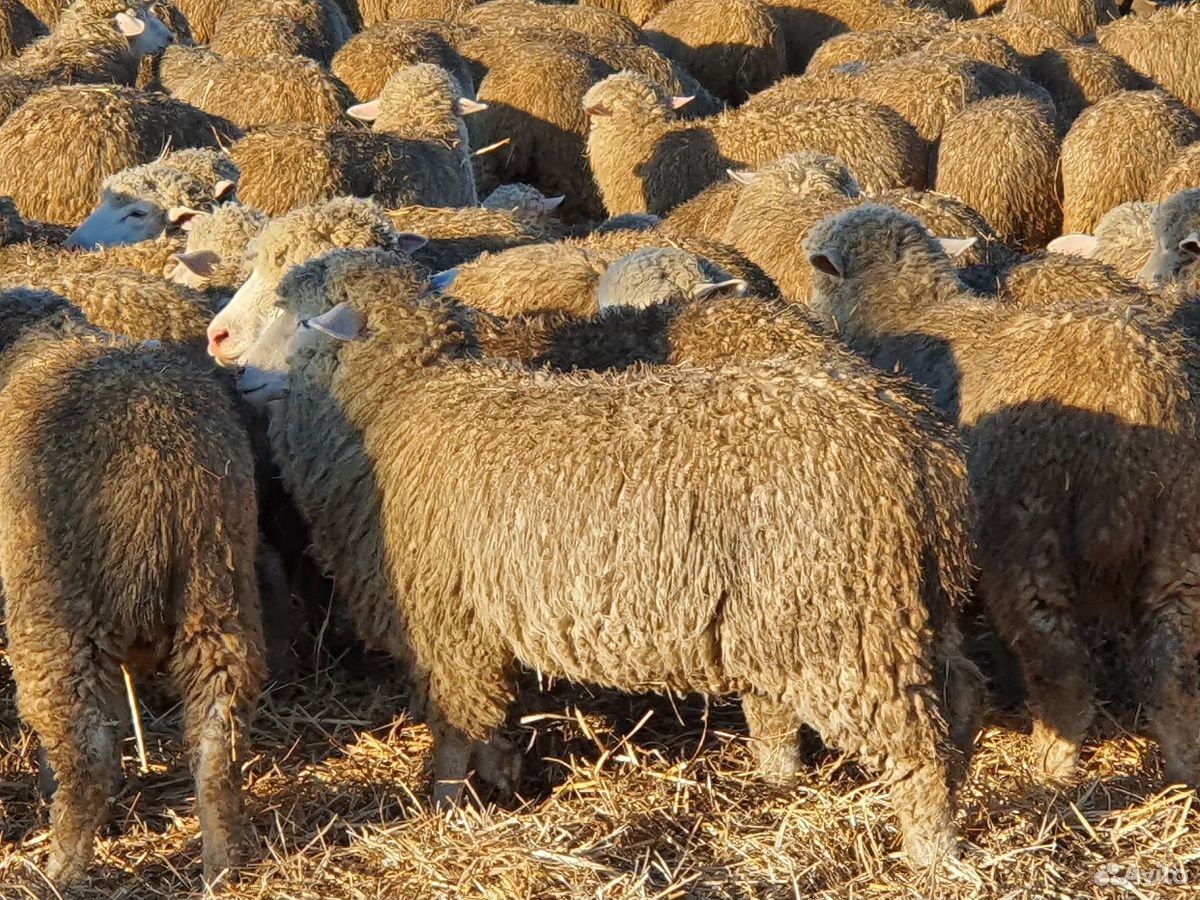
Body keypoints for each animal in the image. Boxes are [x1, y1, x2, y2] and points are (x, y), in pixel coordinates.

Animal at [0, 287, 263, 886]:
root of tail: (158, 464)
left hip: (56, 604)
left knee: (88, 753)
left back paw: (56, 873)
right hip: (218, 591)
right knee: (217, 738)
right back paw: (222, 865)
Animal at [234, 245, 980, 868]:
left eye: (298, 319)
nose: (235, 373)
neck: (399, 405)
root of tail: (914, 441)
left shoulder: (449, 628)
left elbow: (454, 732)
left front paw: (446, 814)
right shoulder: (485, 628)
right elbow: (495, 725)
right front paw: (505, 787)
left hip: (841, 619)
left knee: (914, 738)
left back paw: (932, 850)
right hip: (888, 602)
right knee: (959, 691)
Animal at [803, 203, 1200, 785]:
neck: (907, 311)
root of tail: (1134, 388)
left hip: (1028, 534)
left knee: (1062, 668)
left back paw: (1052, 768)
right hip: (1181, 532)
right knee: (1173, 667)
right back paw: (1183, 769)